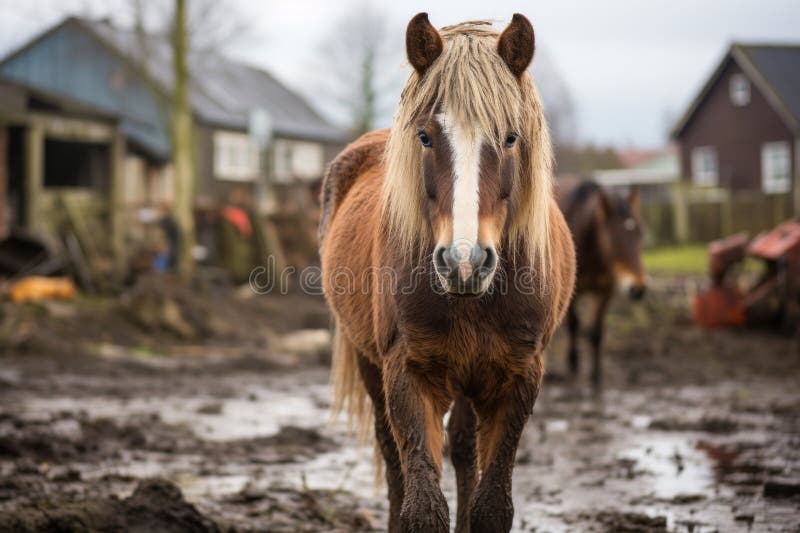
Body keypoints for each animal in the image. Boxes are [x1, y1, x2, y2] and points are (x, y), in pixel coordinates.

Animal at [319, 14, 575, 533]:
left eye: (511, 137)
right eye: (425, 136)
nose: (465, 263)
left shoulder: (518, 378)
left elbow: (491, 505)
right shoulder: (407, 373)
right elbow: (422, 504)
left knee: (461, 449)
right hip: (369, 362)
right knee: (391, 455)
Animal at [557, 181, 646, 385]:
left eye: (640, 234)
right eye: (613, 240)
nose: (638, 288)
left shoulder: (605, 290)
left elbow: (596, 333)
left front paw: (596, 376)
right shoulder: (572, 293)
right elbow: (574, 324)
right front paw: (573, 363)